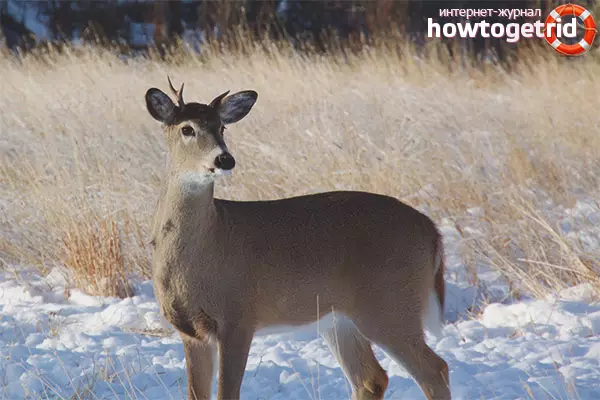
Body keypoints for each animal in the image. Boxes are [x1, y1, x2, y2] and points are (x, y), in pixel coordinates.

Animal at [143, 78, 448, 400]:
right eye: (187, 128)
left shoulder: (238, 318)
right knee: (372, 378)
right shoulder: (191, 332)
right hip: (341, 320)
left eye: (222, 127)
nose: (224, 158)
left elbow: (227, 392)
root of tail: (431, 230)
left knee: (434, 369)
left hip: (390, 304)